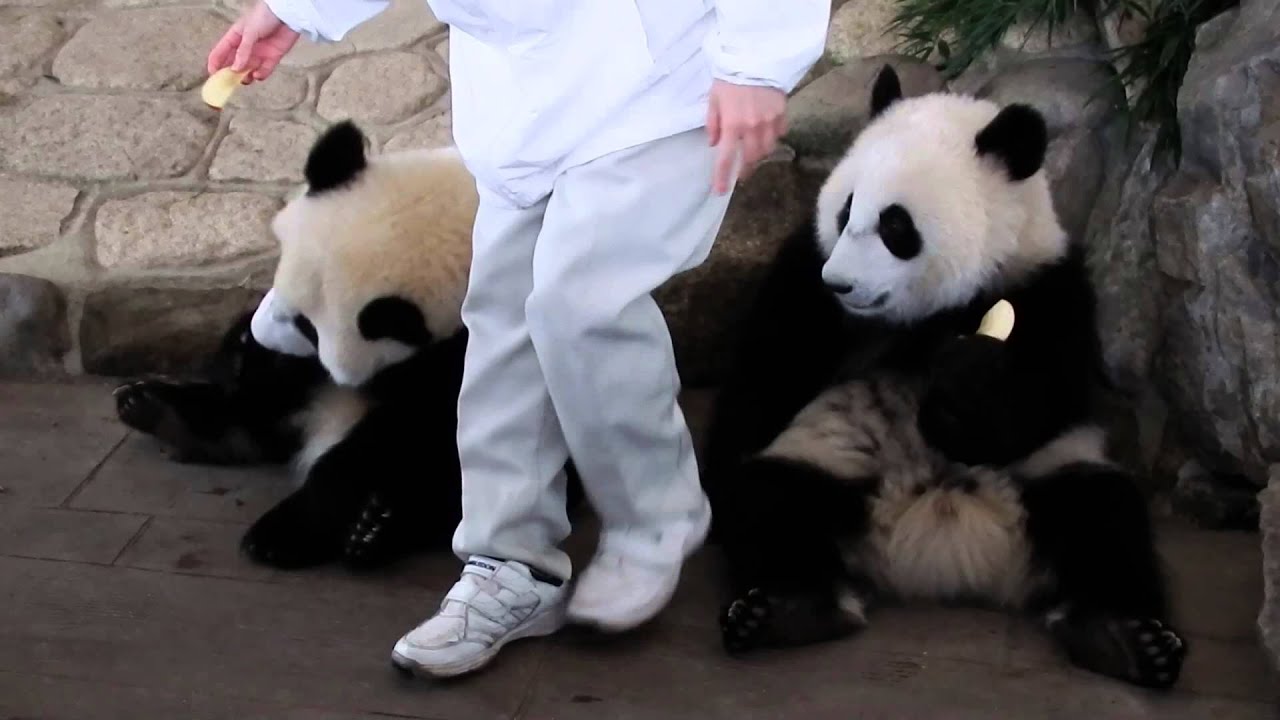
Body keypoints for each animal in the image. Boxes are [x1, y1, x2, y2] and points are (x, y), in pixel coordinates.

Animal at [113, 120, 581, 571]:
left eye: (306, 326)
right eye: (281, 283)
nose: (259, 337)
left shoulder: (476, 340)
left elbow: (412, 431)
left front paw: (285, 532)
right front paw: (245, 354)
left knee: (447, 481)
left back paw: (375, 529)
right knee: (254, 414)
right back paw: (158, 409)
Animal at [701, 65, 1187, 690]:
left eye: (895, 224)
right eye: (844, 211)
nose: (842, 284)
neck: (927, 313)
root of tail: (939, 547)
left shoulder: (1049, 286)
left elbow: (1045, 398)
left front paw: (967, 384)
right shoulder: (806, 275)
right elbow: (767, 373)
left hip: (1043, 480)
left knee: (1105, 517)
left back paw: (1123, 638)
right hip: (830, 463)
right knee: (773, 502)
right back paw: (788, 607)